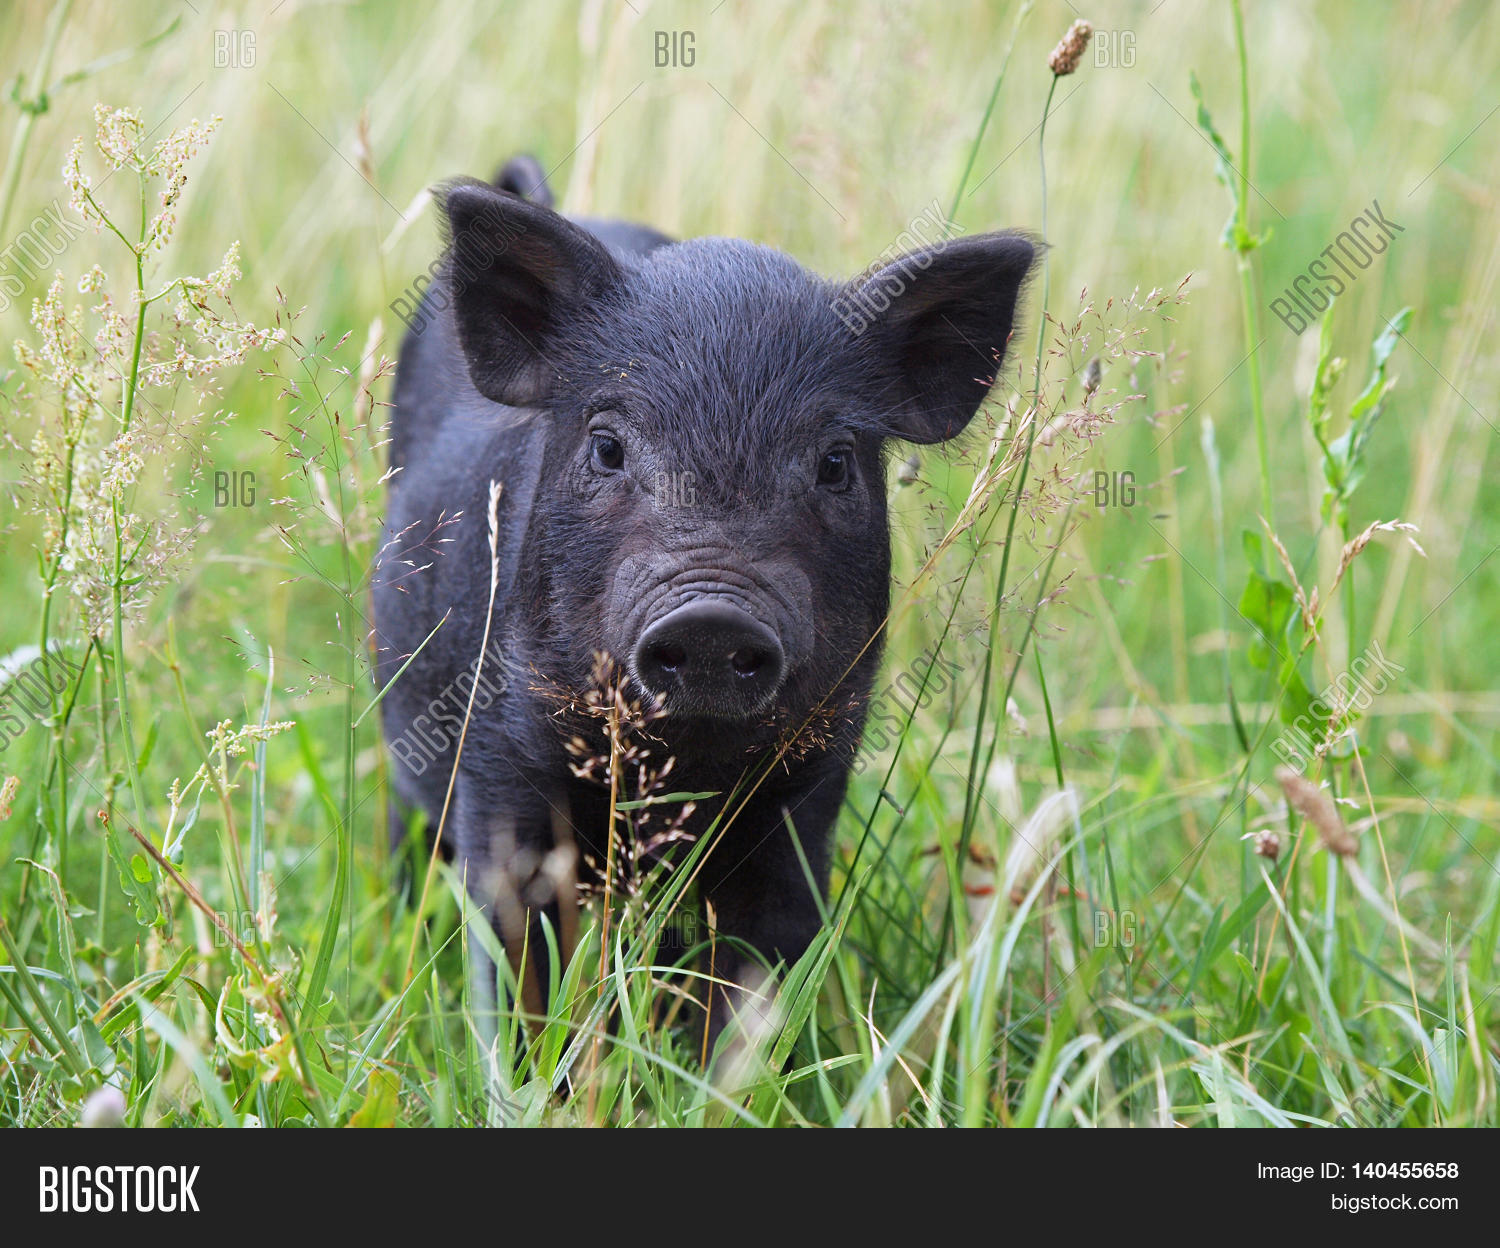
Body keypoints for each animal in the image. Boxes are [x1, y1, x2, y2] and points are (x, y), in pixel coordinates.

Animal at [373, 154, 1035, 1042]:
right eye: (608, 446)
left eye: (834, 462)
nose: (713, 613)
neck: (679, 769)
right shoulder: (497, 764)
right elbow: (520, 963)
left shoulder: (808, 787)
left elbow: (757, 975)